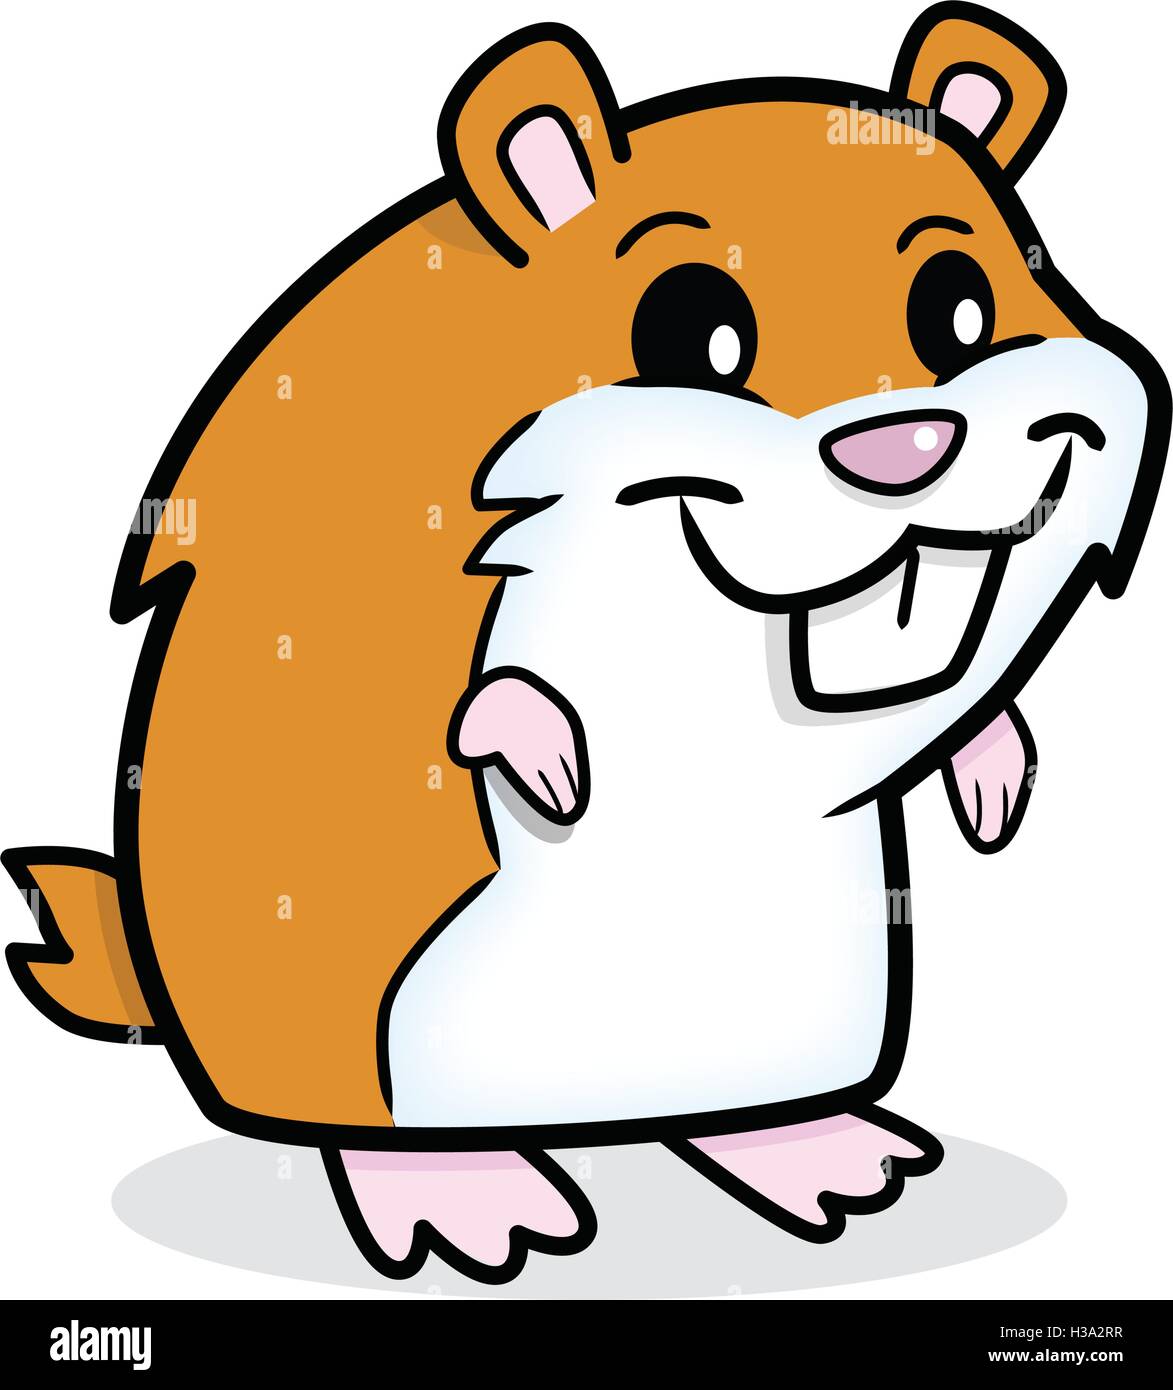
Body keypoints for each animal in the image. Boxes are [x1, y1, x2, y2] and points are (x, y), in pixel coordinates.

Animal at [7, 5, 1167, 1284]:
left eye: (960, 307)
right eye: (694, 330)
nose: (901, 448)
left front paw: (991, 767)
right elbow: (471, 701)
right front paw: (542, 750)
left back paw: (817, 1153)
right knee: (365, 1127)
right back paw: (466, 1199)